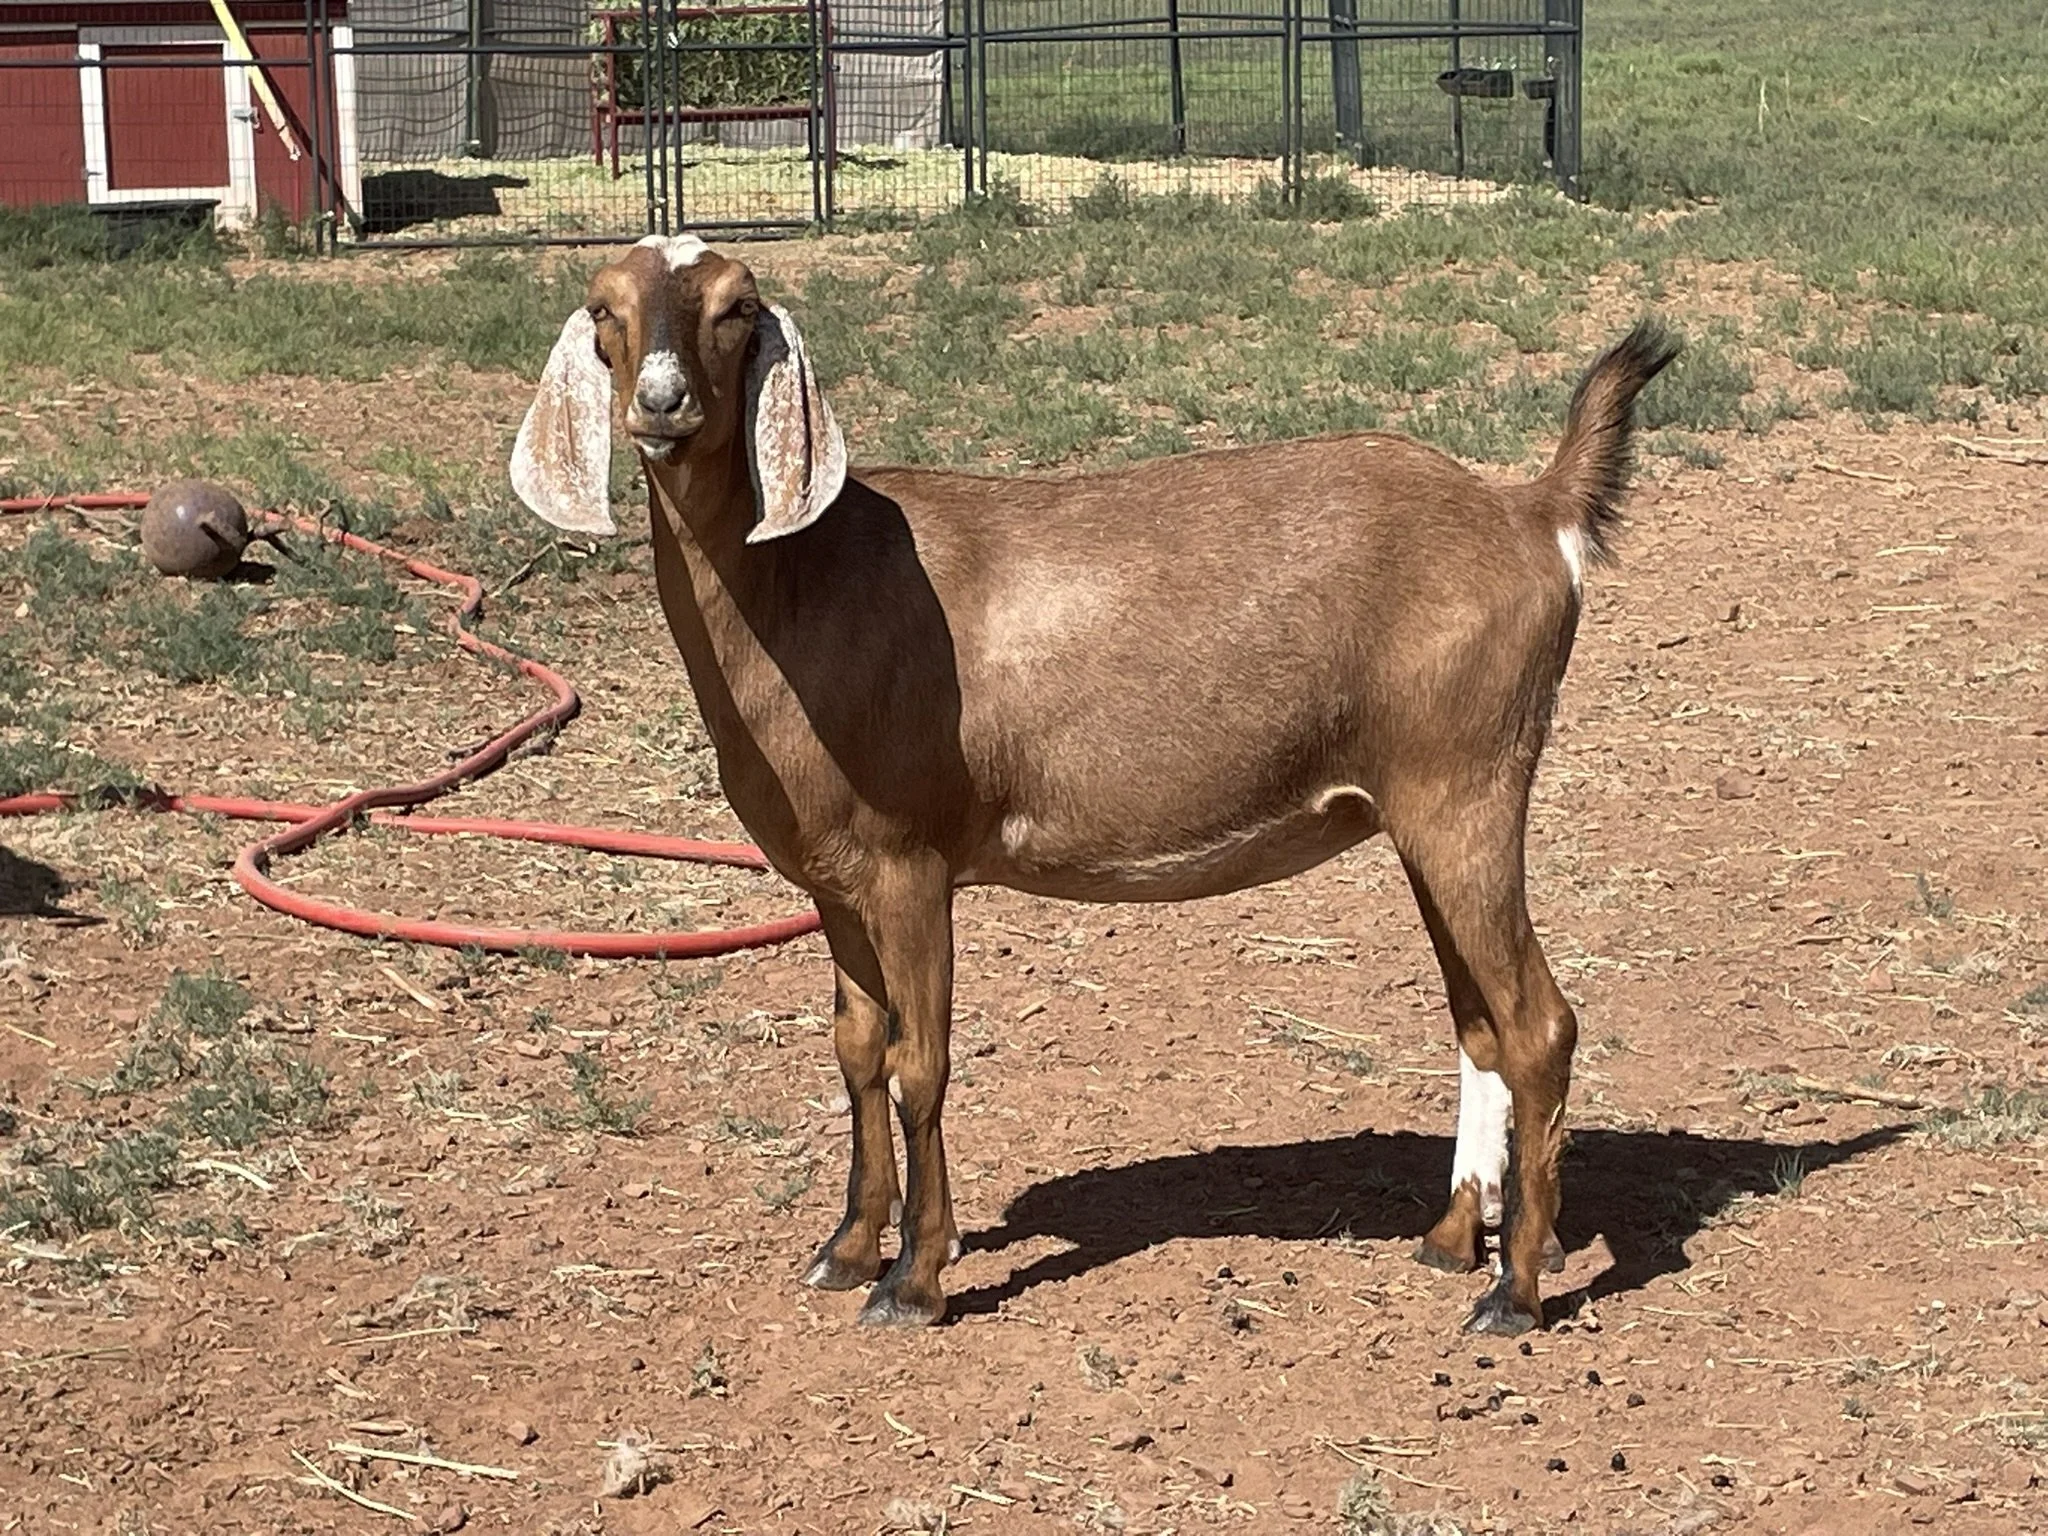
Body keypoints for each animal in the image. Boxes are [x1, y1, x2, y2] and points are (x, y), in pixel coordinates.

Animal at [510, 233, 1678, 1335]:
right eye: (602, 307)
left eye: (736, 306)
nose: (661, 404)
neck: (804, 582)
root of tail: (1531, 513)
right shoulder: (834, 884)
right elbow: (853, 1050)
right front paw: (843, 1249)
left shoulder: (907, 863)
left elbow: (919, 1062)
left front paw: (912, 1280)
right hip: (1424, 810)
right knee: (1481, 1023)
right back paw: (1451, 1240)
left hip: (1467, 786)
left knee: (1539, 1026)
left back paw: (1514, 1291)